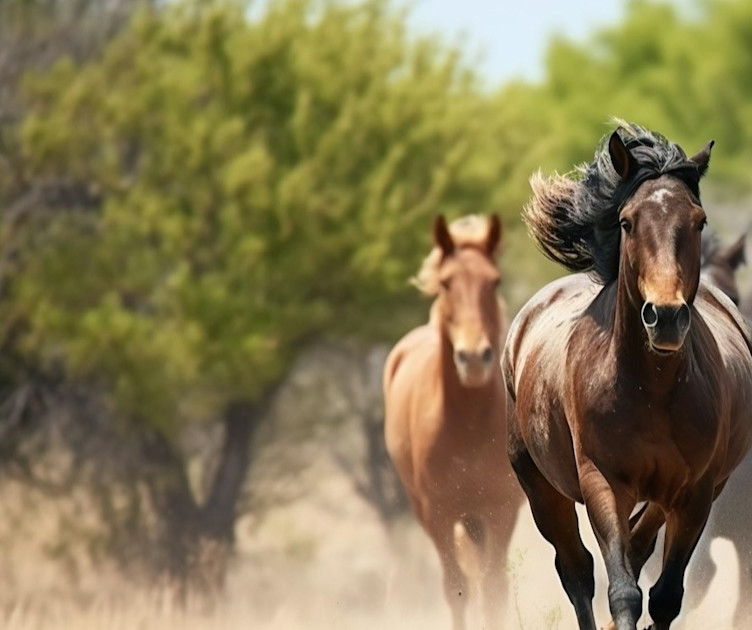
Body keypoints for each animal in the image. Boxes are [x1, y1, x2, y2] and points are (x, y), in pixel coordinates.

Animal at [383, 214, 522, 630]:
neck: (469, 425)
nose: (473, 358)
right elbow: (457, 588)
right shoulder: (440, 514)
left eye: (495, 280)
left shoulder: (500, 509)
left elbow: (493, 587)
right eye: (446, 283)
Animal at [502, 122, 752, 630]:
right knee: (577, 569)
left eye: (698, 221)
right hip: (538, 485)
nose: (666, 316)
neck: (649, 388)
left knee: (635, 547)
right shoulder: (602, 481)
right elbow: (621, 590)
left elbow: (664, 593)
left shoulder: (696, 493)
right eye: (627, 222)